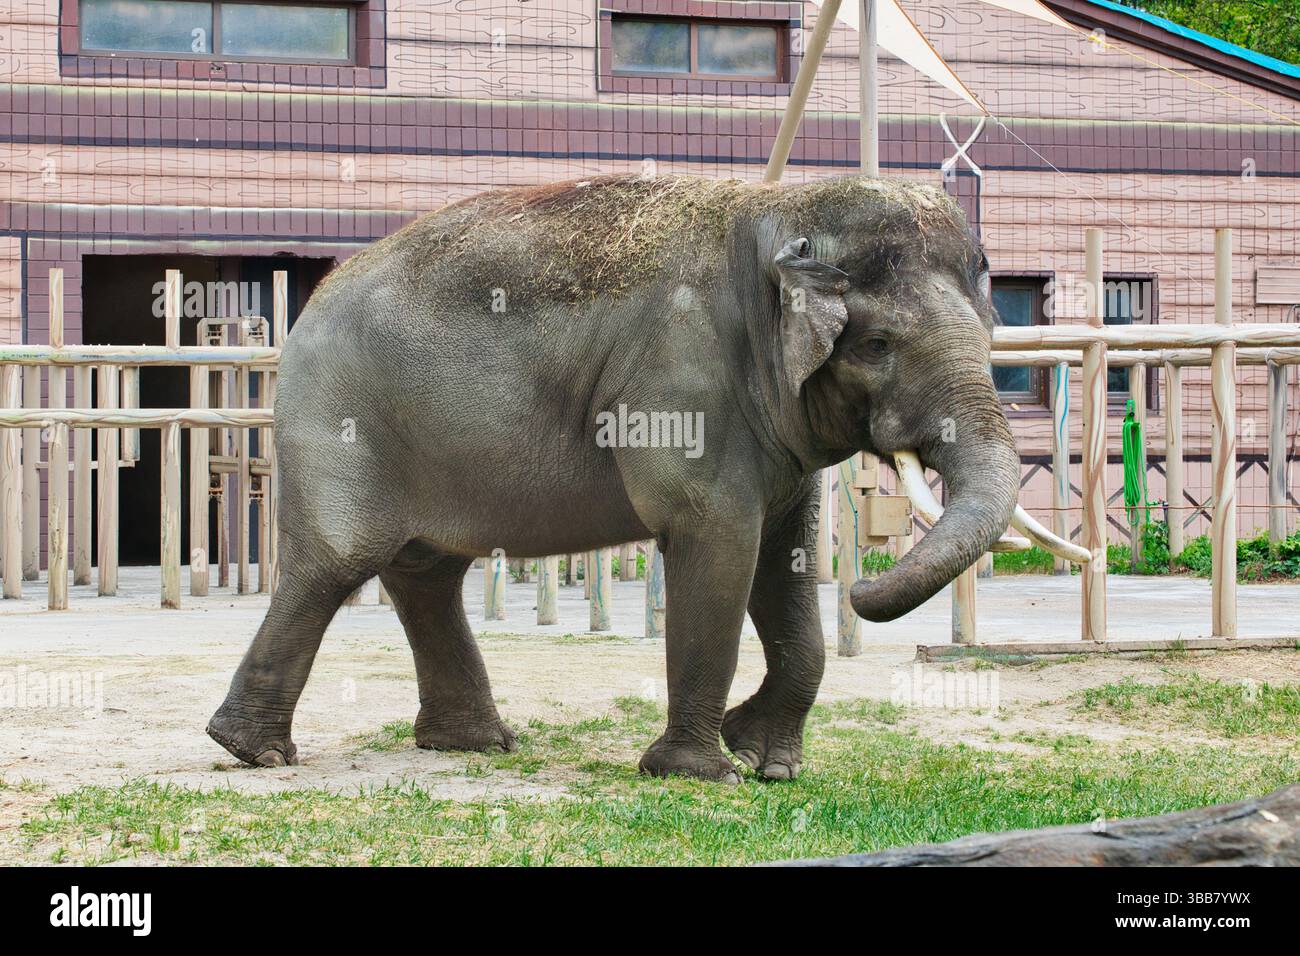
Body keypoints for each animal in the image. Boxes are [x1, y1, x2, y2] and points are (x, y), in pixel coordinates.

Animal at [207, 174, 1020, 783]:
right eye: (878, 344)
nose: (861, 589)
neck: (782, 208)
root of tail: (311, 300)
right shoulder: (685, 382)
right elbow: (718, 541)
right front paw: (700, 773)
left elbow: (781, 554)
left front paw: (769, 764)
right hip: (338, 422)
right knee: (337, 565)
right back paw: (255, 752)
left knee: (426, 573)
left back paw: (473, 744)